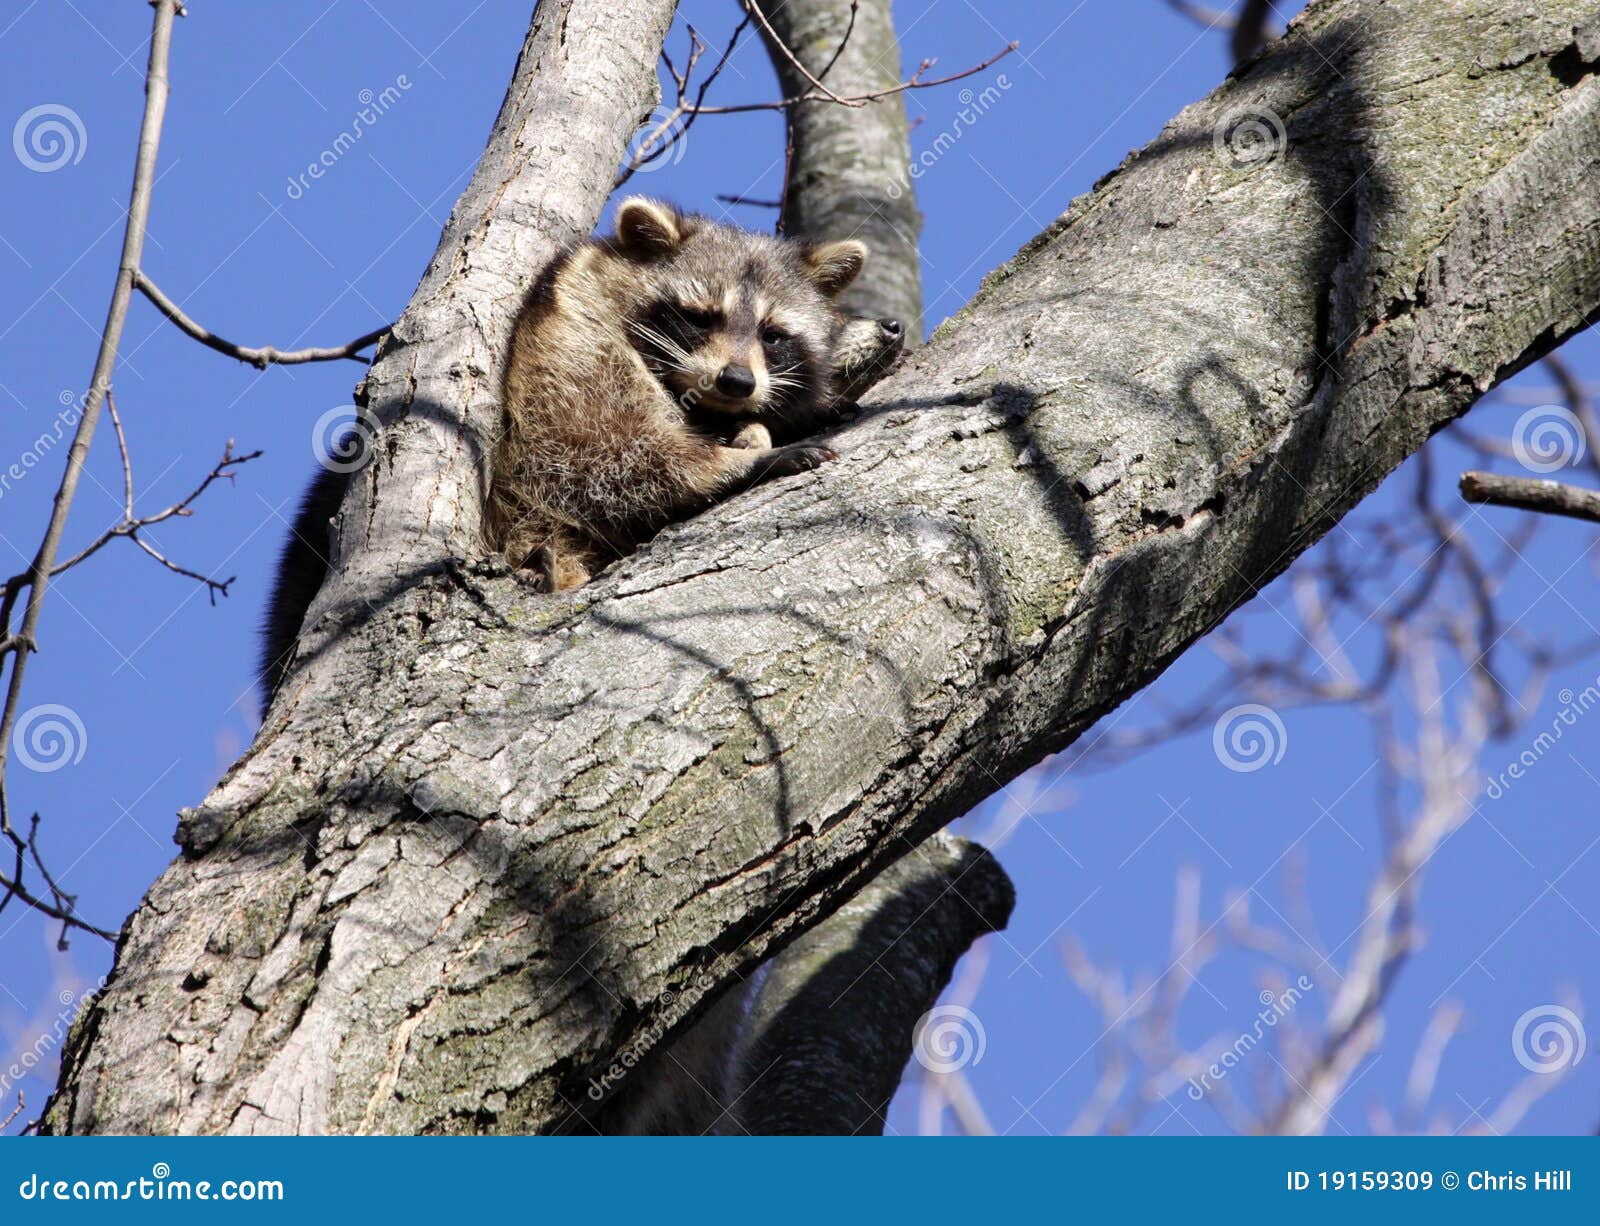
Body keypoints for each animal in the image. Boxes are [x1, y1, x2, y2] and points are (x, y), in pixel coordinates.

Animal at [484, 197, 871, 591]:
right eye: (700, 318)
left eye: (772, 335)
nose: (736, 381)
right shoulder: (570, 346)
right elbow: (601, 457)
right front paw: (742, 460)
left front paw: (764, 427)